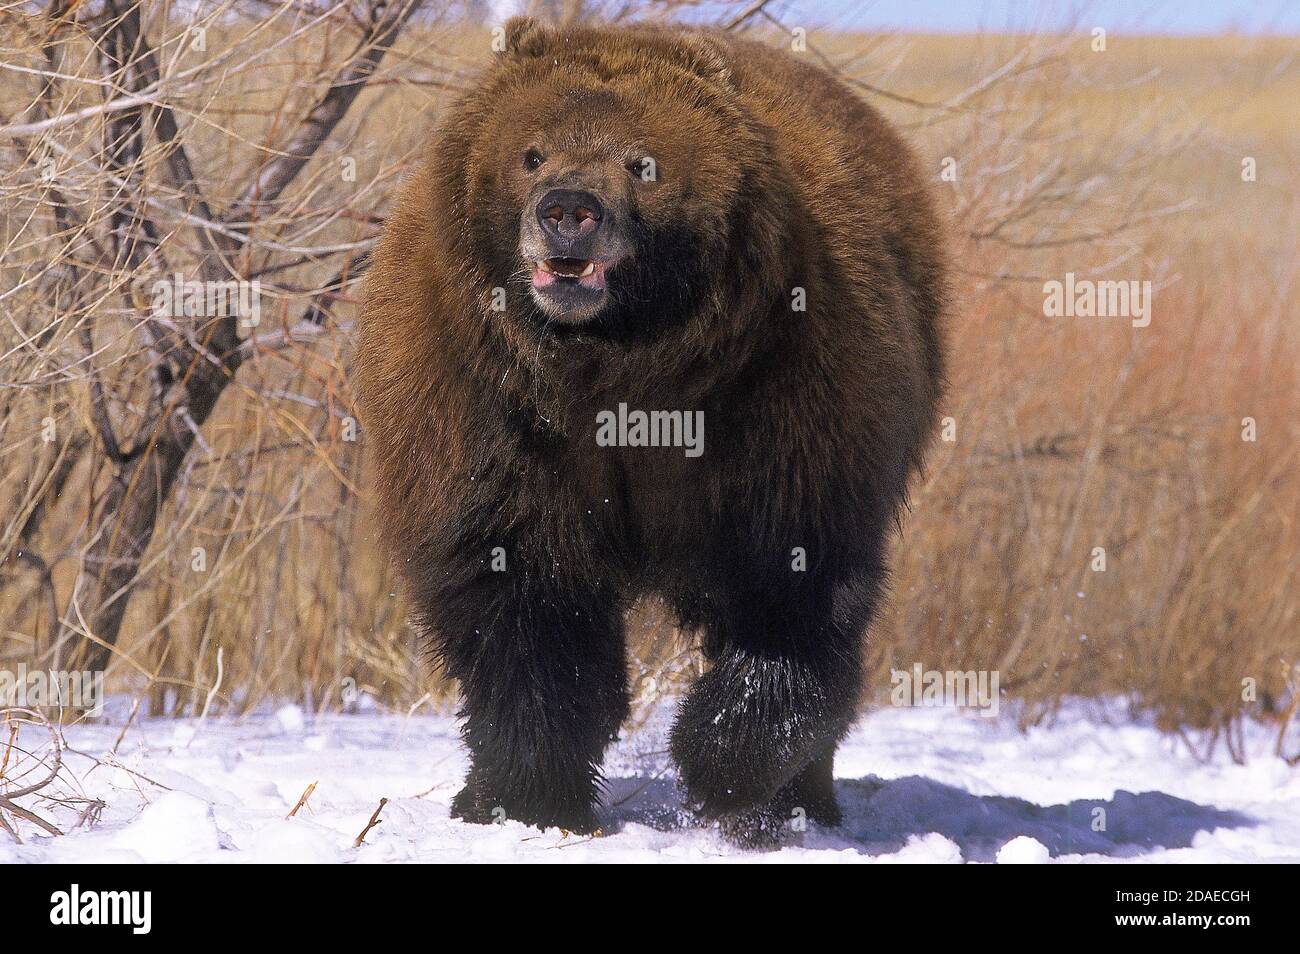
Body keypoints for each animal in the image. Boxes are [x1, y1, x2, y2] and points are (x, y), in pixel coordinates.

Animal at [356, 17, 946, 847]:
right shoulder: (490, 410)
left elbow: (794, 586)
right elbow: (520, 596)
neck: (618, 366)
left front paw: (718, 761)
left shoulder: (782, 398)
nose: (568, 211)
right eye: (531, 152)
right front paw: (522, 799)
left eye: (643, 162)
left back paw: (804, 805)